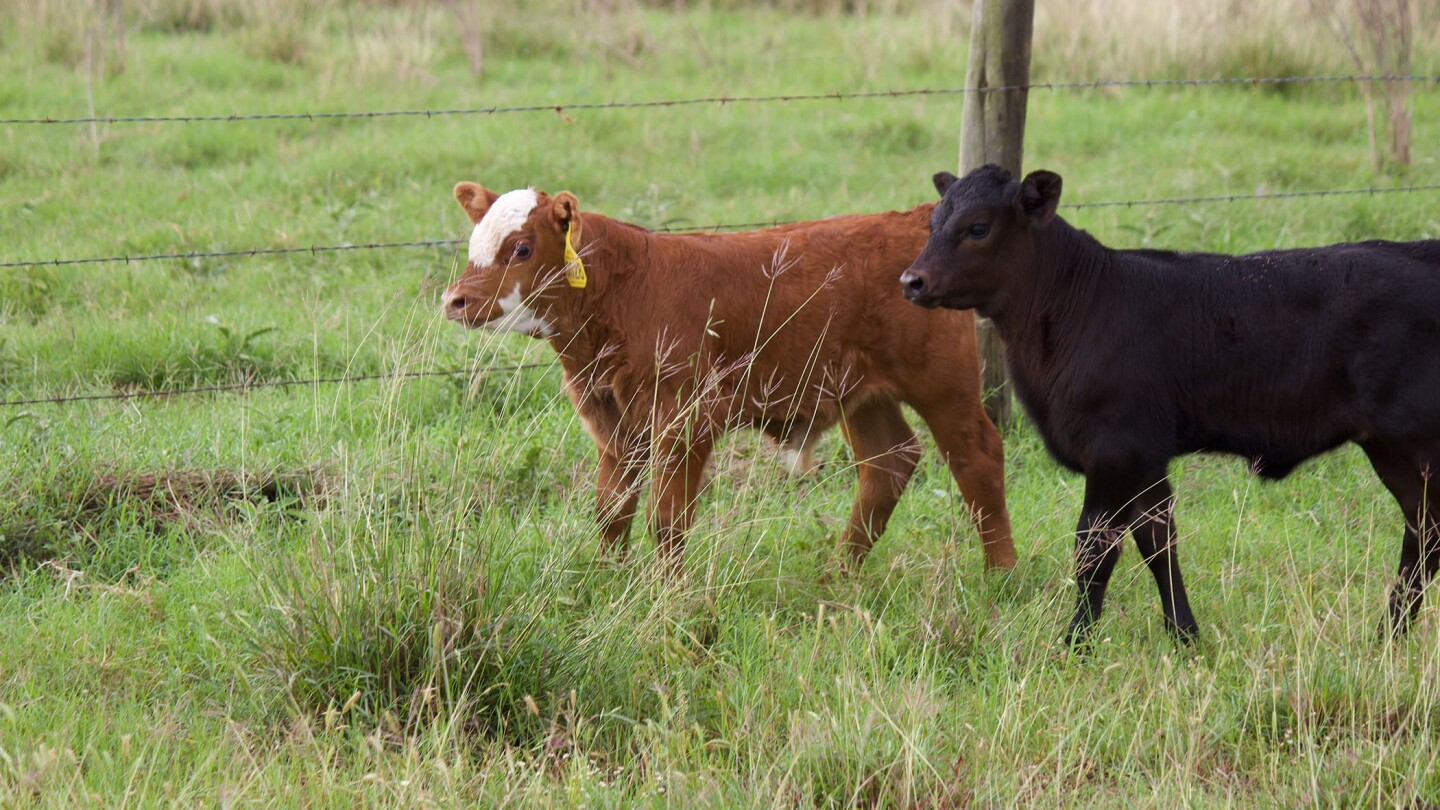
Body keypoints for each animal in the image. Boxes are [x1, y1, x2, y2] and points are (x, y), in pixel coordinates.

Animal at [440, 182, 1017, 576]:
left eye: (521, 247)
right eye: (474, 242)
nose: (455, 300)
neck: (623, 291)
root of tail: (908, 219)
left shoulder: (687, 417)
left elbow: (667, 518)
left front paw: (666, 594)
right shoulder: (613, 419)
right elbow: (611, 511)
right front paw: (608, 583)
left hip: (944, 384)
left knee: (977, 459)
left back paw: (1000, 577)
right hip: (862, 392)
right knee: (888, 464)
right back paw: (838, 577)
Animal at [900, 164, 1440, 644]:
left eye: (978, 226)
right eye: (932, 222)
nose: (911, 281)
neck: (1077, 306)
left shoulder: (1114, 448)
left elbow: (1094, 547)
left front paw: (1076, 643)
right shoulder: (1146, 454)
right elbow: (1157, 542)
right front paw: (1184, 634)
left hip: (1412, 441)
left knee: (1426, 531)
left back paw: (1388, 634)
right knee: (1423, 532)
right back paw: (1388, 636)